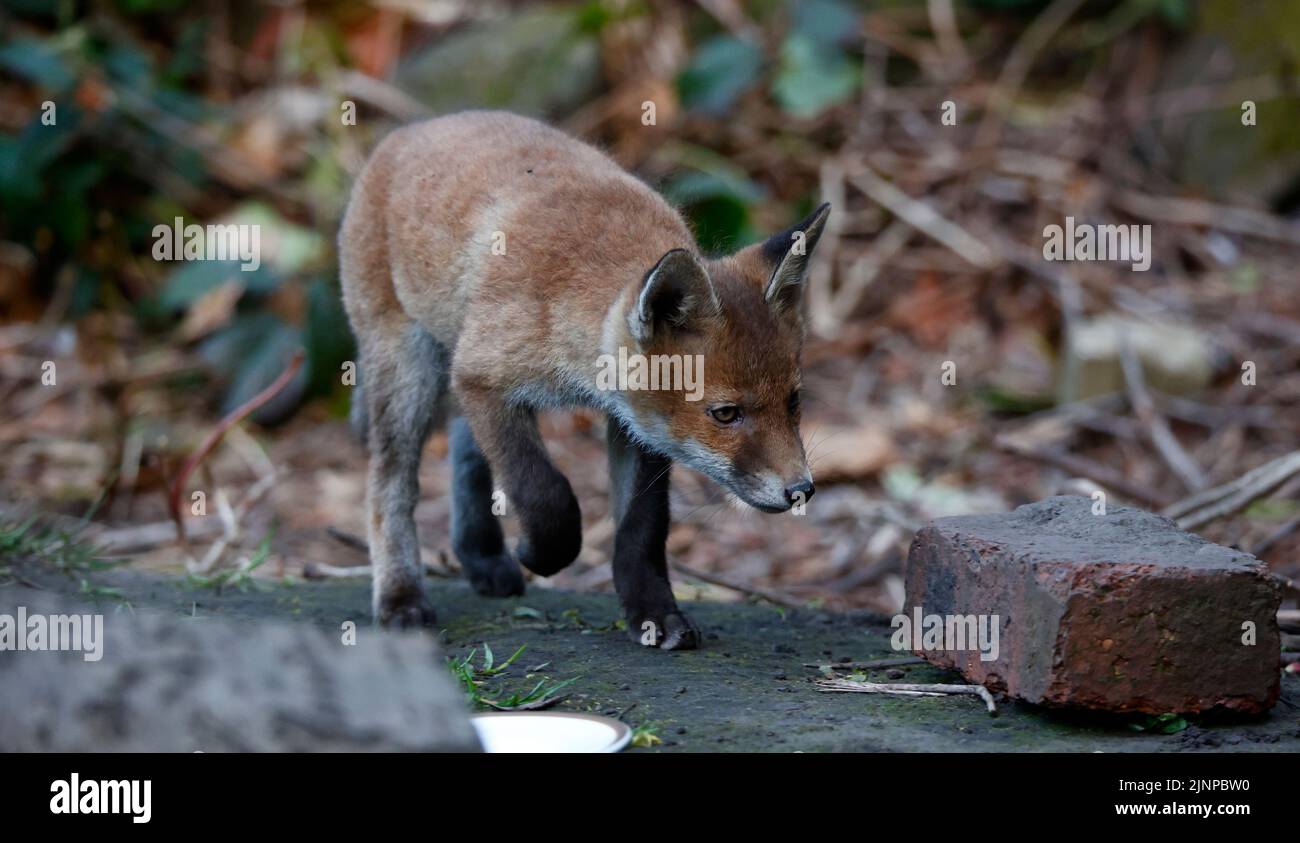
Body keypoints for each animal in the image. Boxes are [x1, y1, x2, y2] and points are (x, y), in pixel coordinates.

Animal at [339, 111, 829, 649]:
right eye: (726, 414)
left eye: (794, 401)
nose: (801, 491)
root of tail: (414, 128)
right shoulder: (485, 377)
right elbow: (545, 492)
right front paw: (541, 553)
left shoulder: (637, 424)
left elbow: (641, 531)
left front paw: (655, 615)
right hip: (407, 368)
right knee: (391, 484)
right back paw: (401, 595)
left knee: (467, 453)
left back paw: (481, 556)